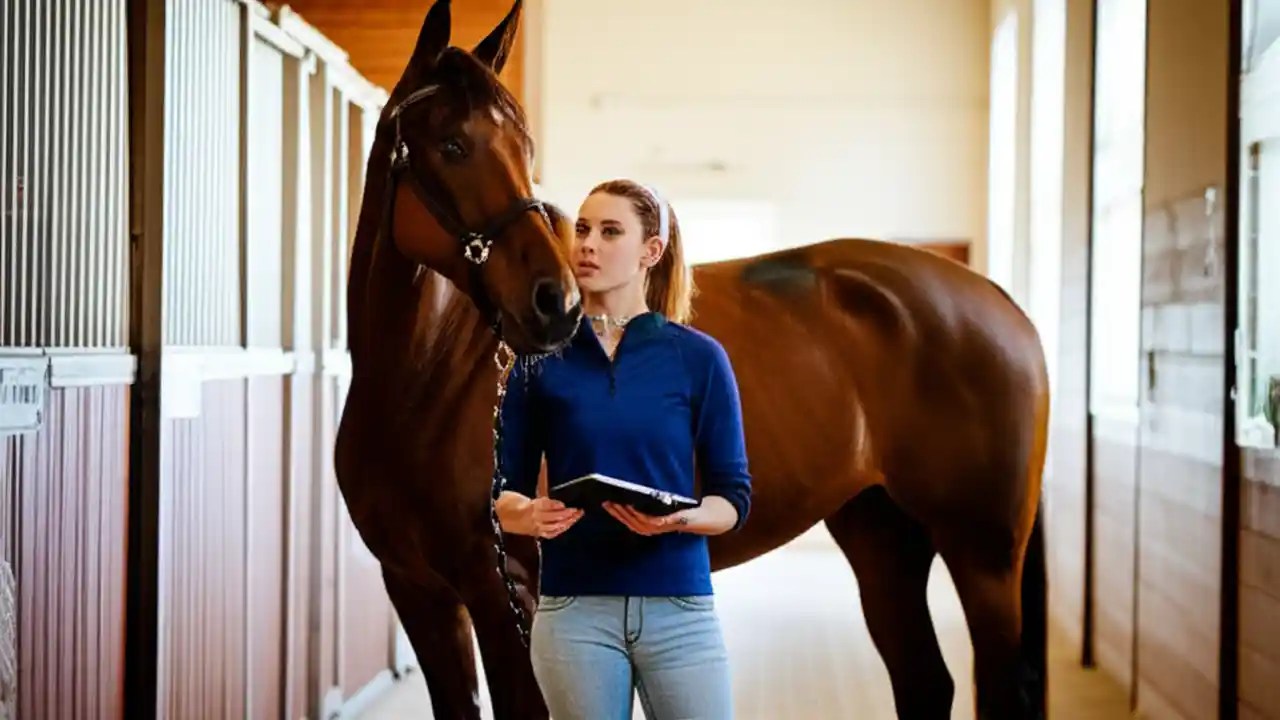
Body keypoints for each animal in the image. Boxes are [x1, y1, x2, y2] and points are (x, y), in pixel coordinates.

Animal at [335, 2, 1050, 719]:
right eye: (452, 145)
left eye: (525, 149)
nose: (555, 303)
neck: (426, 382)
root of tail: (996, 301)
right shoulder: (420, 593)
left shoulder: (506, 593)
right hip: (883, 536)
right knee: (924, 678)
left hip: (983, 556)